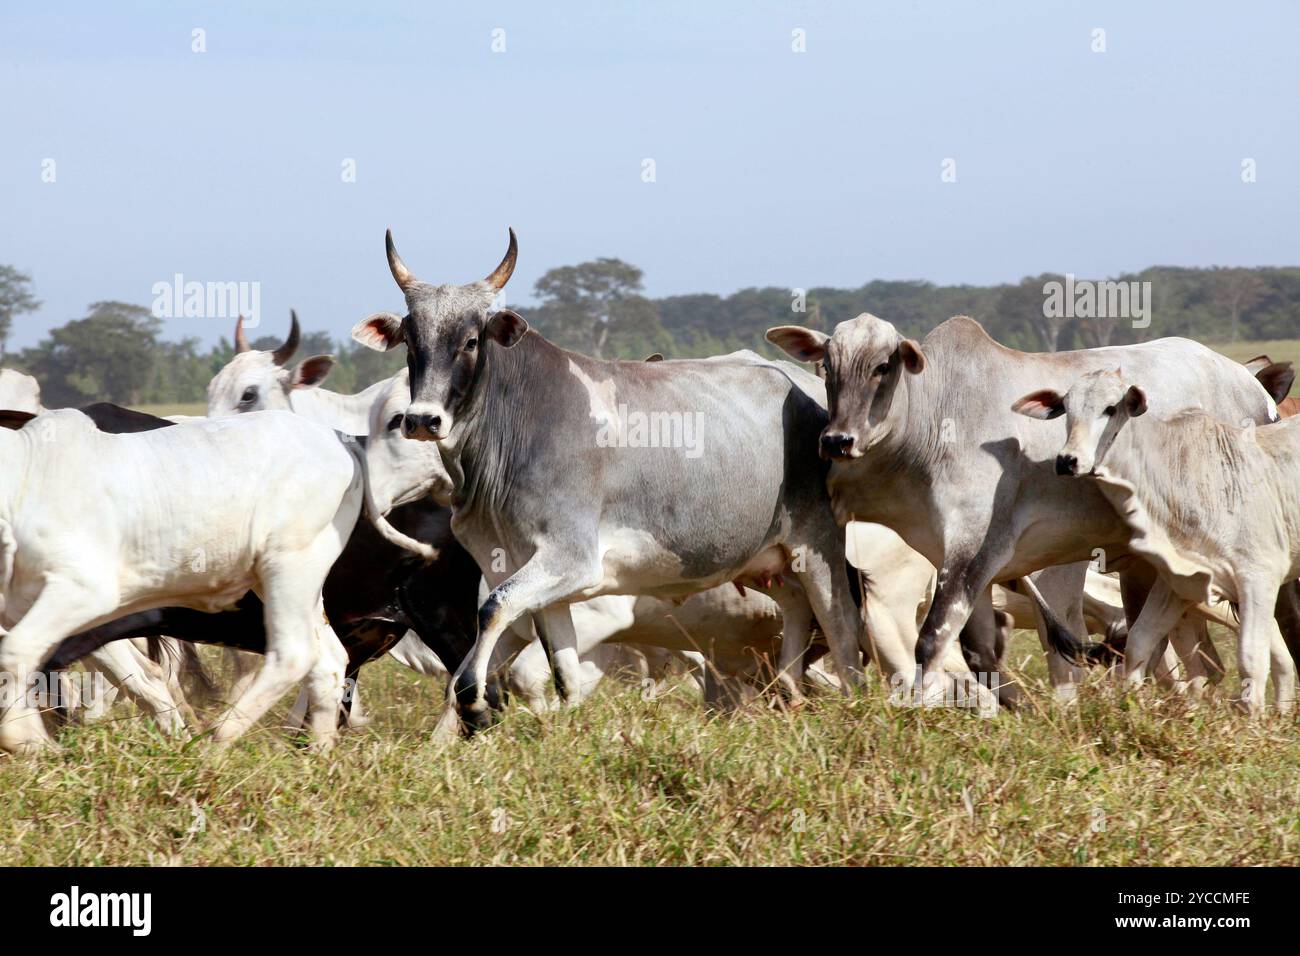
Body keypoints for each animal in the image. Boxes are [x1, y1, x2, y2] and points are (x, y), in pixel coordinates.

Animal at [352, 229, 876, 737]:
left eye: (472, 341)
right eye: (411, 341)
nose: (423, 420)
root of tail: (809, 388)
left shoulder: (570, 559)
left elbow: (493, 612)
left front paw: (477, 705)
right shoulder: (530, 571)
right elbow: (558, 668)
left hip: (818, 546)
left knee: (841, 624)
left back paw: (852, 707)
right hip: (767, 561)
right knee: (797, 609)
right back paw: (790, 694)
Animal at [766, 313, 1280, 692]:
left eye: (883, 366)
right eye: (826, 366)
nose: (837, 440)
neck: (934, 420)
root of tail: (1253, 387)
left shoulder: (973, 550)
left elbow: (930, 642)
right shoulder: (957, 561)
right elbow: (976, 652)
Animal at [1012, 368, 1298, 714]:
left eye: (1111, 408)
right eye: (1067, 408)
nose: (1067, 460)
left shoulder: (1258, 578)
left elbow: (1251, 659)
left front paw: (1254, 720)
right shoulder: (1179, 580)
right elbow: (1139, 642)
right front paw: (1131, 706)